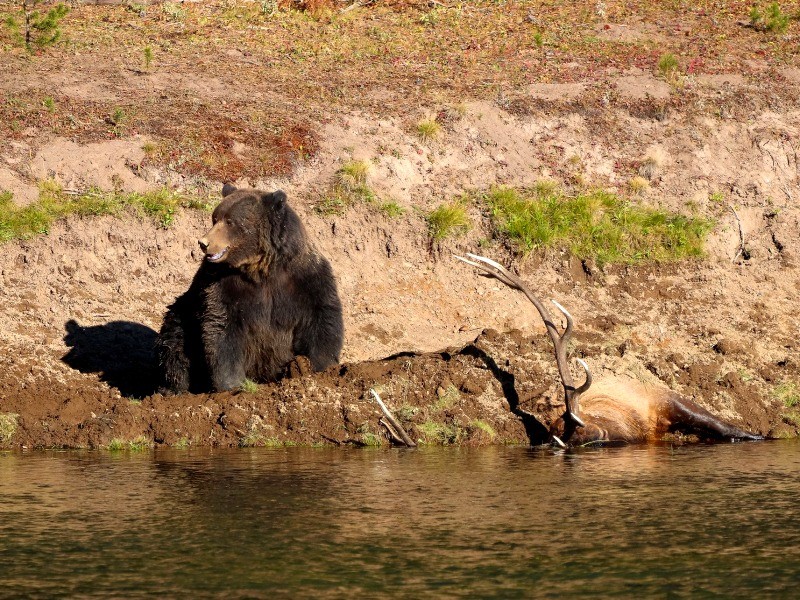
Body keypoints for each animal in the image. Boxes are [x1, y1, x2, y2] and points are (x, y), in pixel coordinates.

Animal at [156, 184, 344, 393]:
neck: (261, 268)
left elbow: (321, 316)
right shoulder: (221, 283)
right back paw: (175, 389)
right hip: (186, 317)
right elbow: (222, 325)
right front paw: (231, 384)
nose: (203, 243)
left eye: (230, 221)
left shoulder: (305, 278)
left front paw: (317, 367)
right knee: (175, 341)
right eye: (215, 218)